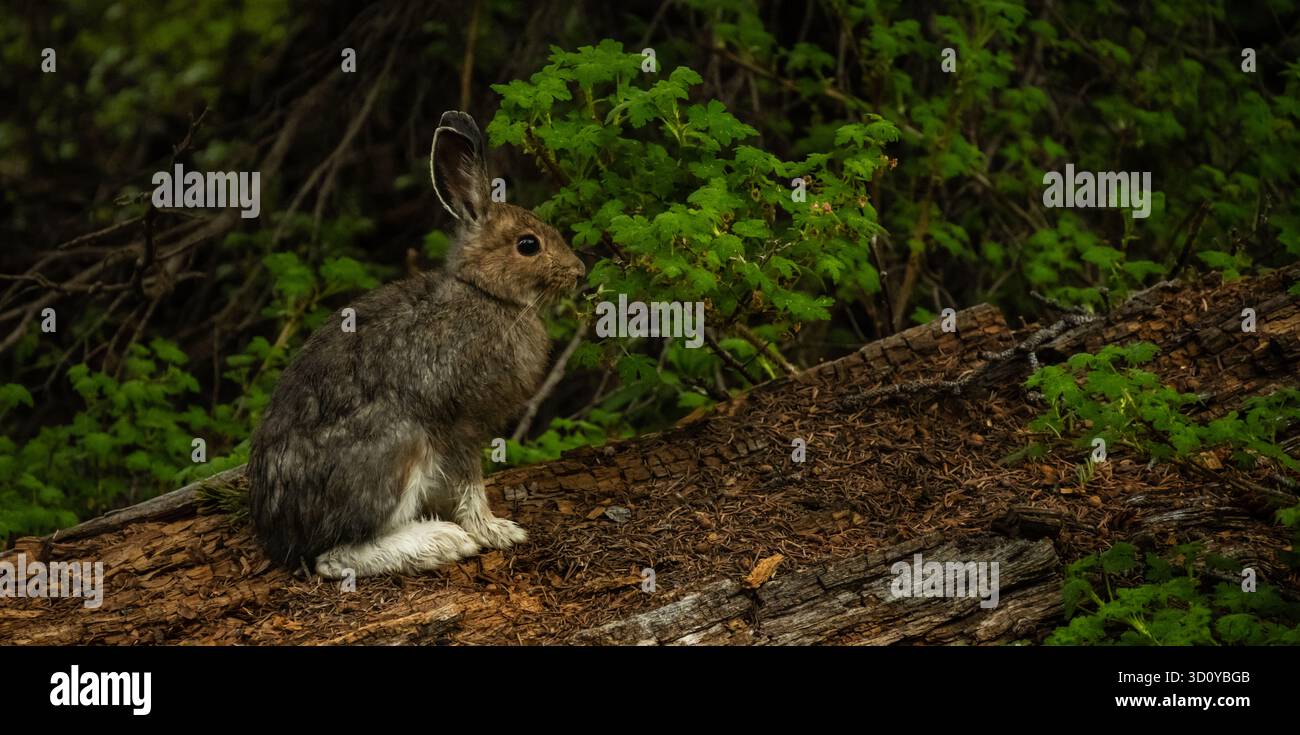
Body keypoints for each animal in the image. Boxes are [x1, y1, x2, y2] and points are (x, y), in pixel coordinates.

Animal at [247, 110, 585, 578]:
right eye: (528, 245)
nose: (580, 271)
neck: (485, 293)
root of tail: (281, 531)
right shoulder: (462, 422)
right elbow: (470, 483)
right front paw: (495, 530)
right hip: (398, 446)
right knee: (332, 558)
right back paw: (441, 542)